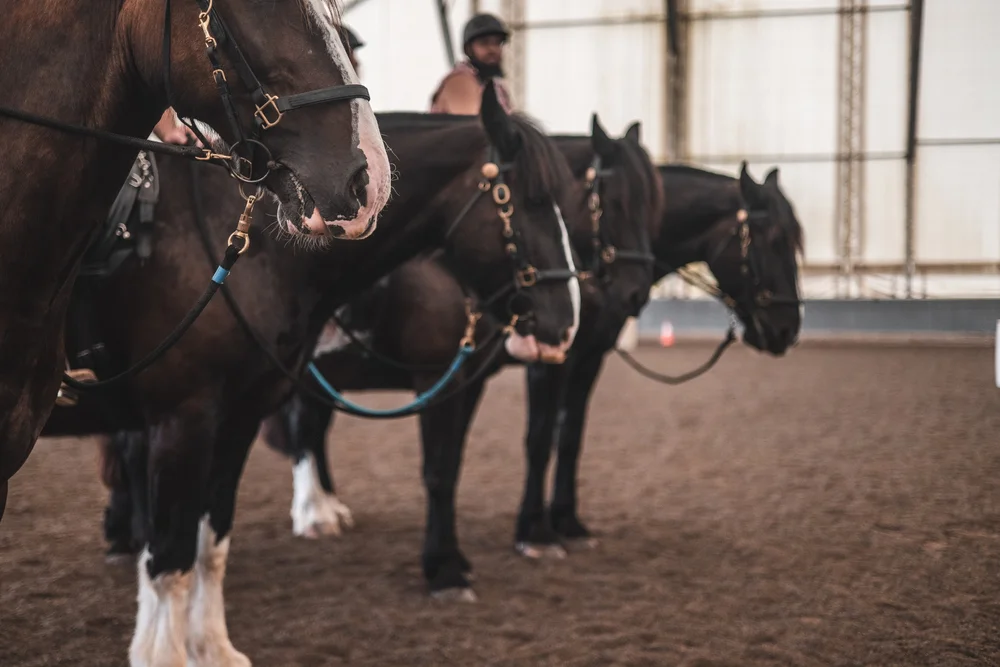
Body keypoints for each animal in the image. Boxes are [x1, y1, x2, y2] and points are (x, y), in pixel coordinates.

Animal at [46, 86, 581, 665]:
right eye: (529, 201)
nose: (566, 324)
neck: (236, 248)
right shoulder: (182, 421)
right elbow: (171, 556)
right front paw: (445, 569)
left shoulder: (235, 419)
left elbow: (209, 541)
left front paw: (211, 647)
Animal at [221, 158, 804, 600]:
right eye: (773, 239)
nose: (787, 330)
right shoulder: (534, 366)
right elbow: (536, 442)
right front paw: (534, 533)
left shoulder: (573, 361)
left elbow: (567, 438)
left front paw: (565, 523)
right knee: (306, 426)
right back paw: (315, 512)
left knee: (313, 425)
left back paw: (327, 506)